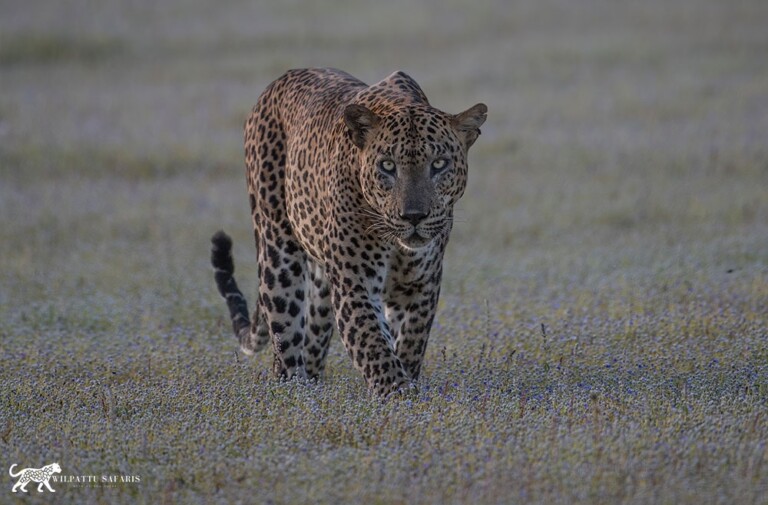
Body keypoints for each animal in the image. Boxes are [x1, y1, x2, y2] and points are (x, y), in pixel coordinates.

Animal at [211, 68, 486, 396]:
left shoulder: (421, 284)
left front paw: (409, 388)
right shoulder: (355, 282)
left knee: (312, 346)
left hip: (321, 289)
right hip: (278, 258)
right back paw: (295, 395)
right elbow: (374, 345)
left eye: (440, 164)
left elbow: (410, 343)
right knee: (285, 348)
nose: (414, 217)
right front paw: (398, 394)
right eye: (387, 166)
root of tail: (280, 81)